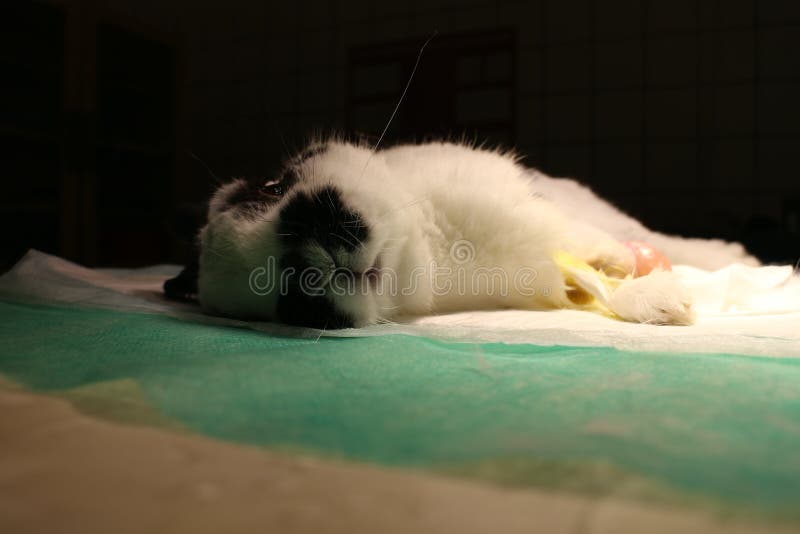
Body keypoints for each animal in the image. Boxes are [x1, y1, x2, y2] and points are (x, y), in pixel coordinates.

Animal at [165, 138, 758, 329]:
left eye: (274, 185)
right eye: (288, 299)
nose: (315, 255)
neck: (433, 252)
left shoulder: (548, 216)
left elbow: (592, 248)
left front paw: (646, 282)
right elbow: (586, 284)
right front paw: (664, 302)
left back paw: (736, 255)